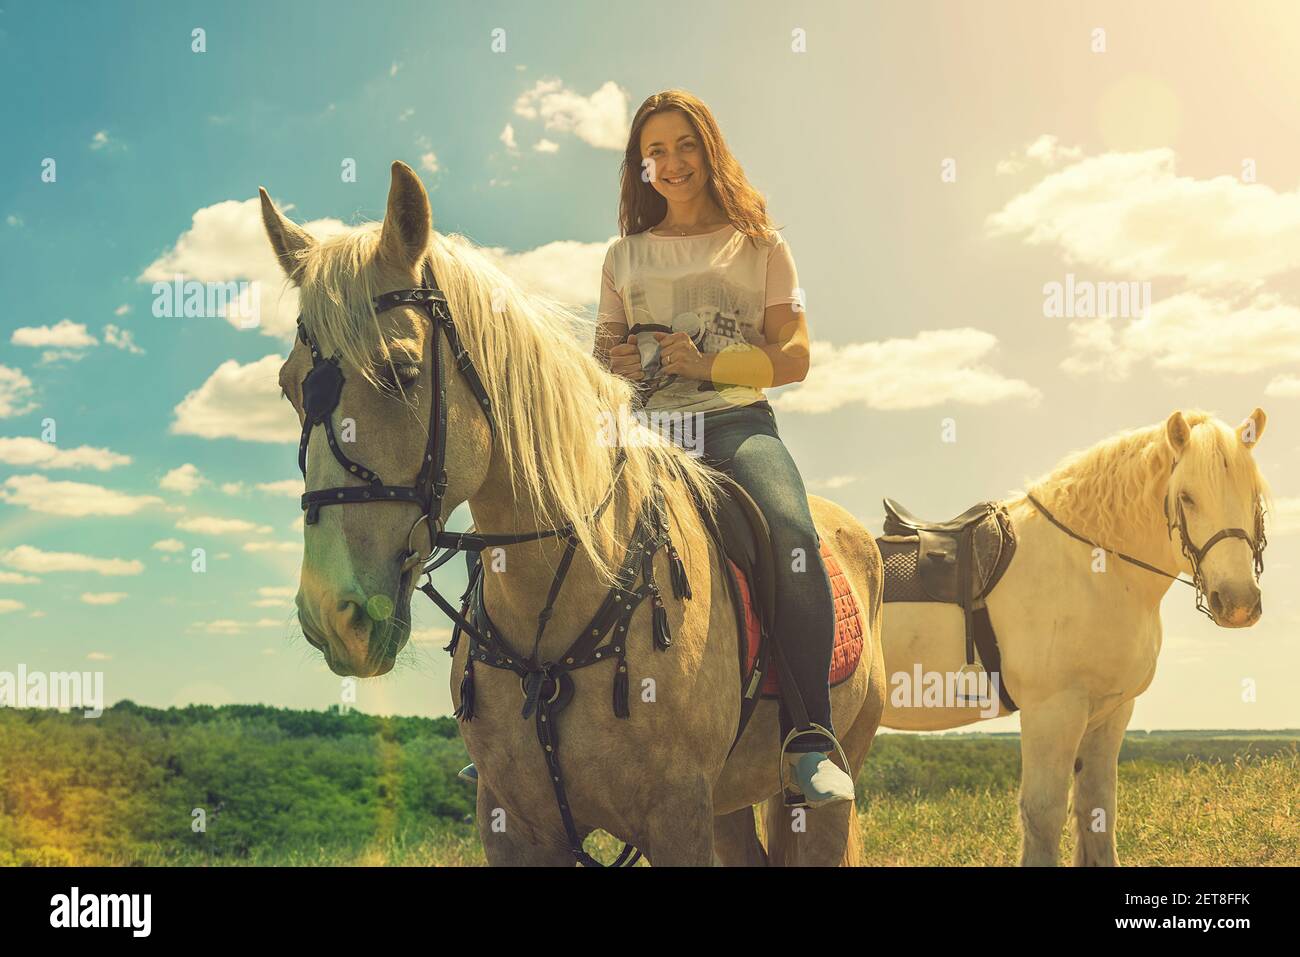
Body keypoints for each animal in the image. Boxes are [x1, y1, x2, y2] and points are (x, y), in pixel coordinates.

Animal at [261, 160, 887, 866]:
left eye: (401, 371)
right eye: (289, 387)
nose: (331, 614)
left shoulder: (678, 818)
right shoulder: (512, 822)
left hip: (817, 790)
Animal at [877, 409, 1272, 865]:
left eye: (1253, 495)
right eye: (1186, 496)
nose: (1238, 602)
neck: (1091, 567)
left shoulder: (1110, 711)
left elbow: (1097, 808)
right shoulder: (1052, 711)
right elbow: (1043, 813)